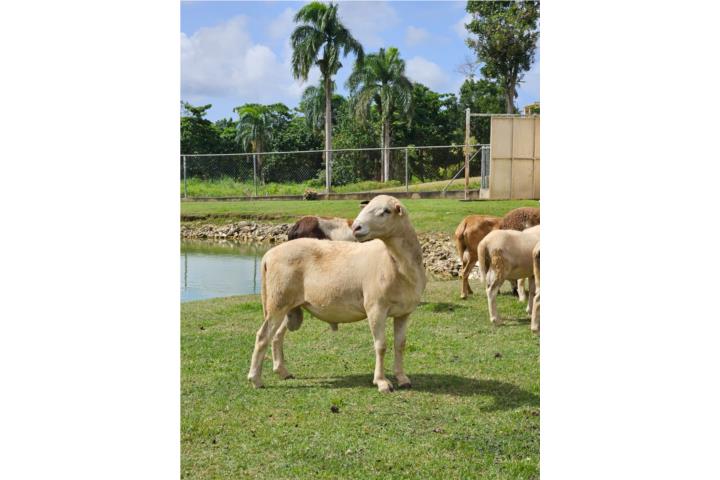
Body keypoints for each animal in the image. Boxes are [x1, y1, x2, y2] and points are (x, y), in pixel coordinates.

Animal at [248, 195, 427, 393]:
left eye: (386, 211)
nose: (356, 227)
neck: (396, 263)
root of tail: (269, 255)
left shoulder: (404, 312)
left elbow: (400, 345)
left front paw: (402, 378)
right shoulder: (376, 308)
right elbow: (381, 346)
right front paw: (381, 382)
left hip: (289, 305)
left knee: (277, 336)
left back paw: (282, 371)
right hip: (277, 302)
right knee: (263, 336)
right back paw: (255, 379)